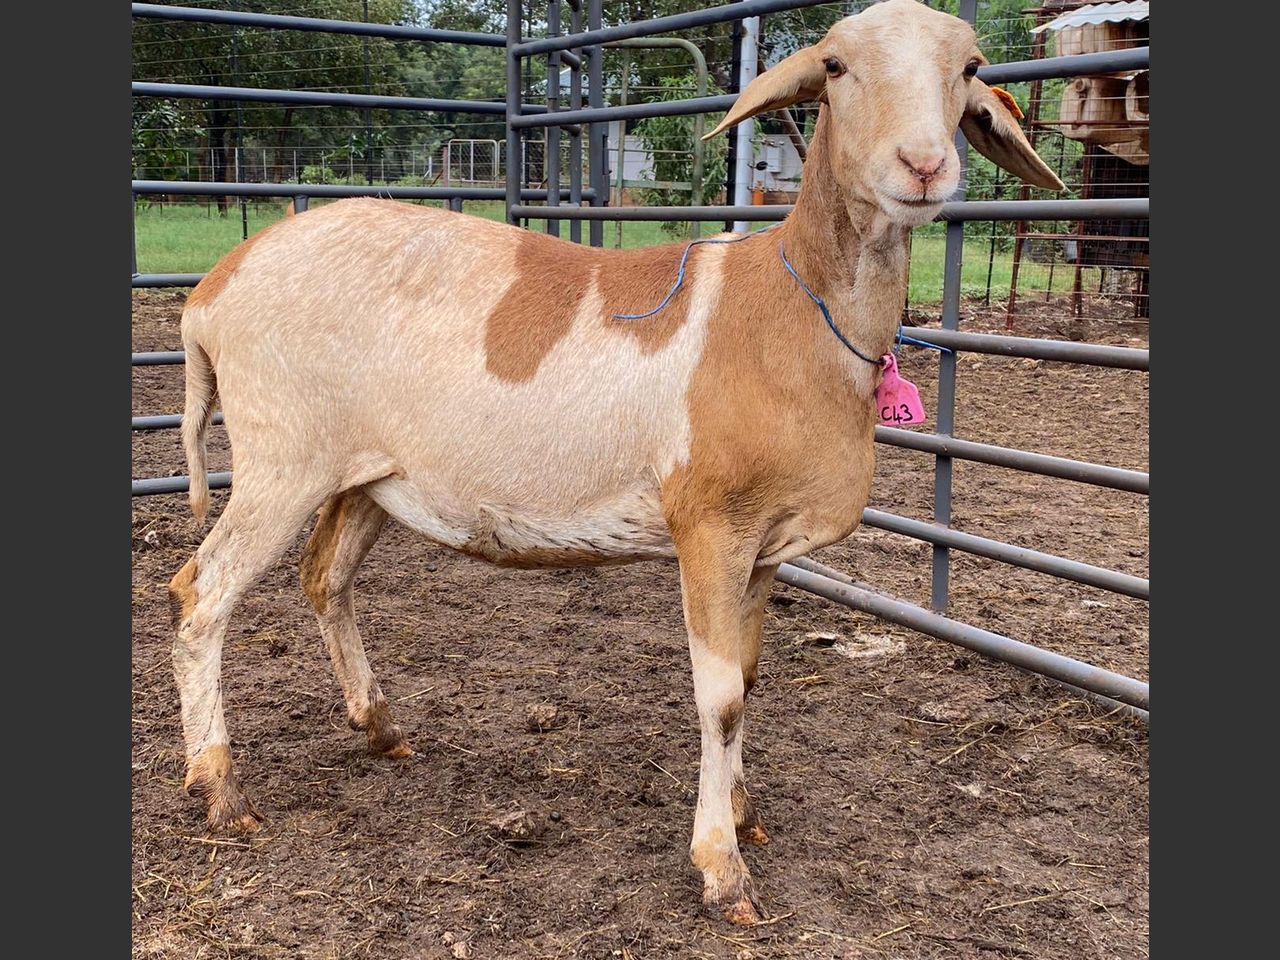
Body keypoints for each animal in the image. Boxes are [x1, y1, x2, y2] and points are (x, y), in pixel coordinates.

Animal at [166, 0, 1062, 924]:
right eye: (836, 68)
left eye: (969, 68)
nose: (922, 166)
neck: (798, 307)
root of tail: (213, 290)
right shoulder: (709, 524)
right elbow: (720, 698)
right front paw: (722, 867)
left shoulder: (764, 548)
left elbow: (749, 680)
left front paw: (745, 815)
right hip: (283, 456)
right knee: (202, 595)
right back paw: (221, 789)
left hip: (369, 473)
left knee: (325, 576)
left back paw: (379, 726)